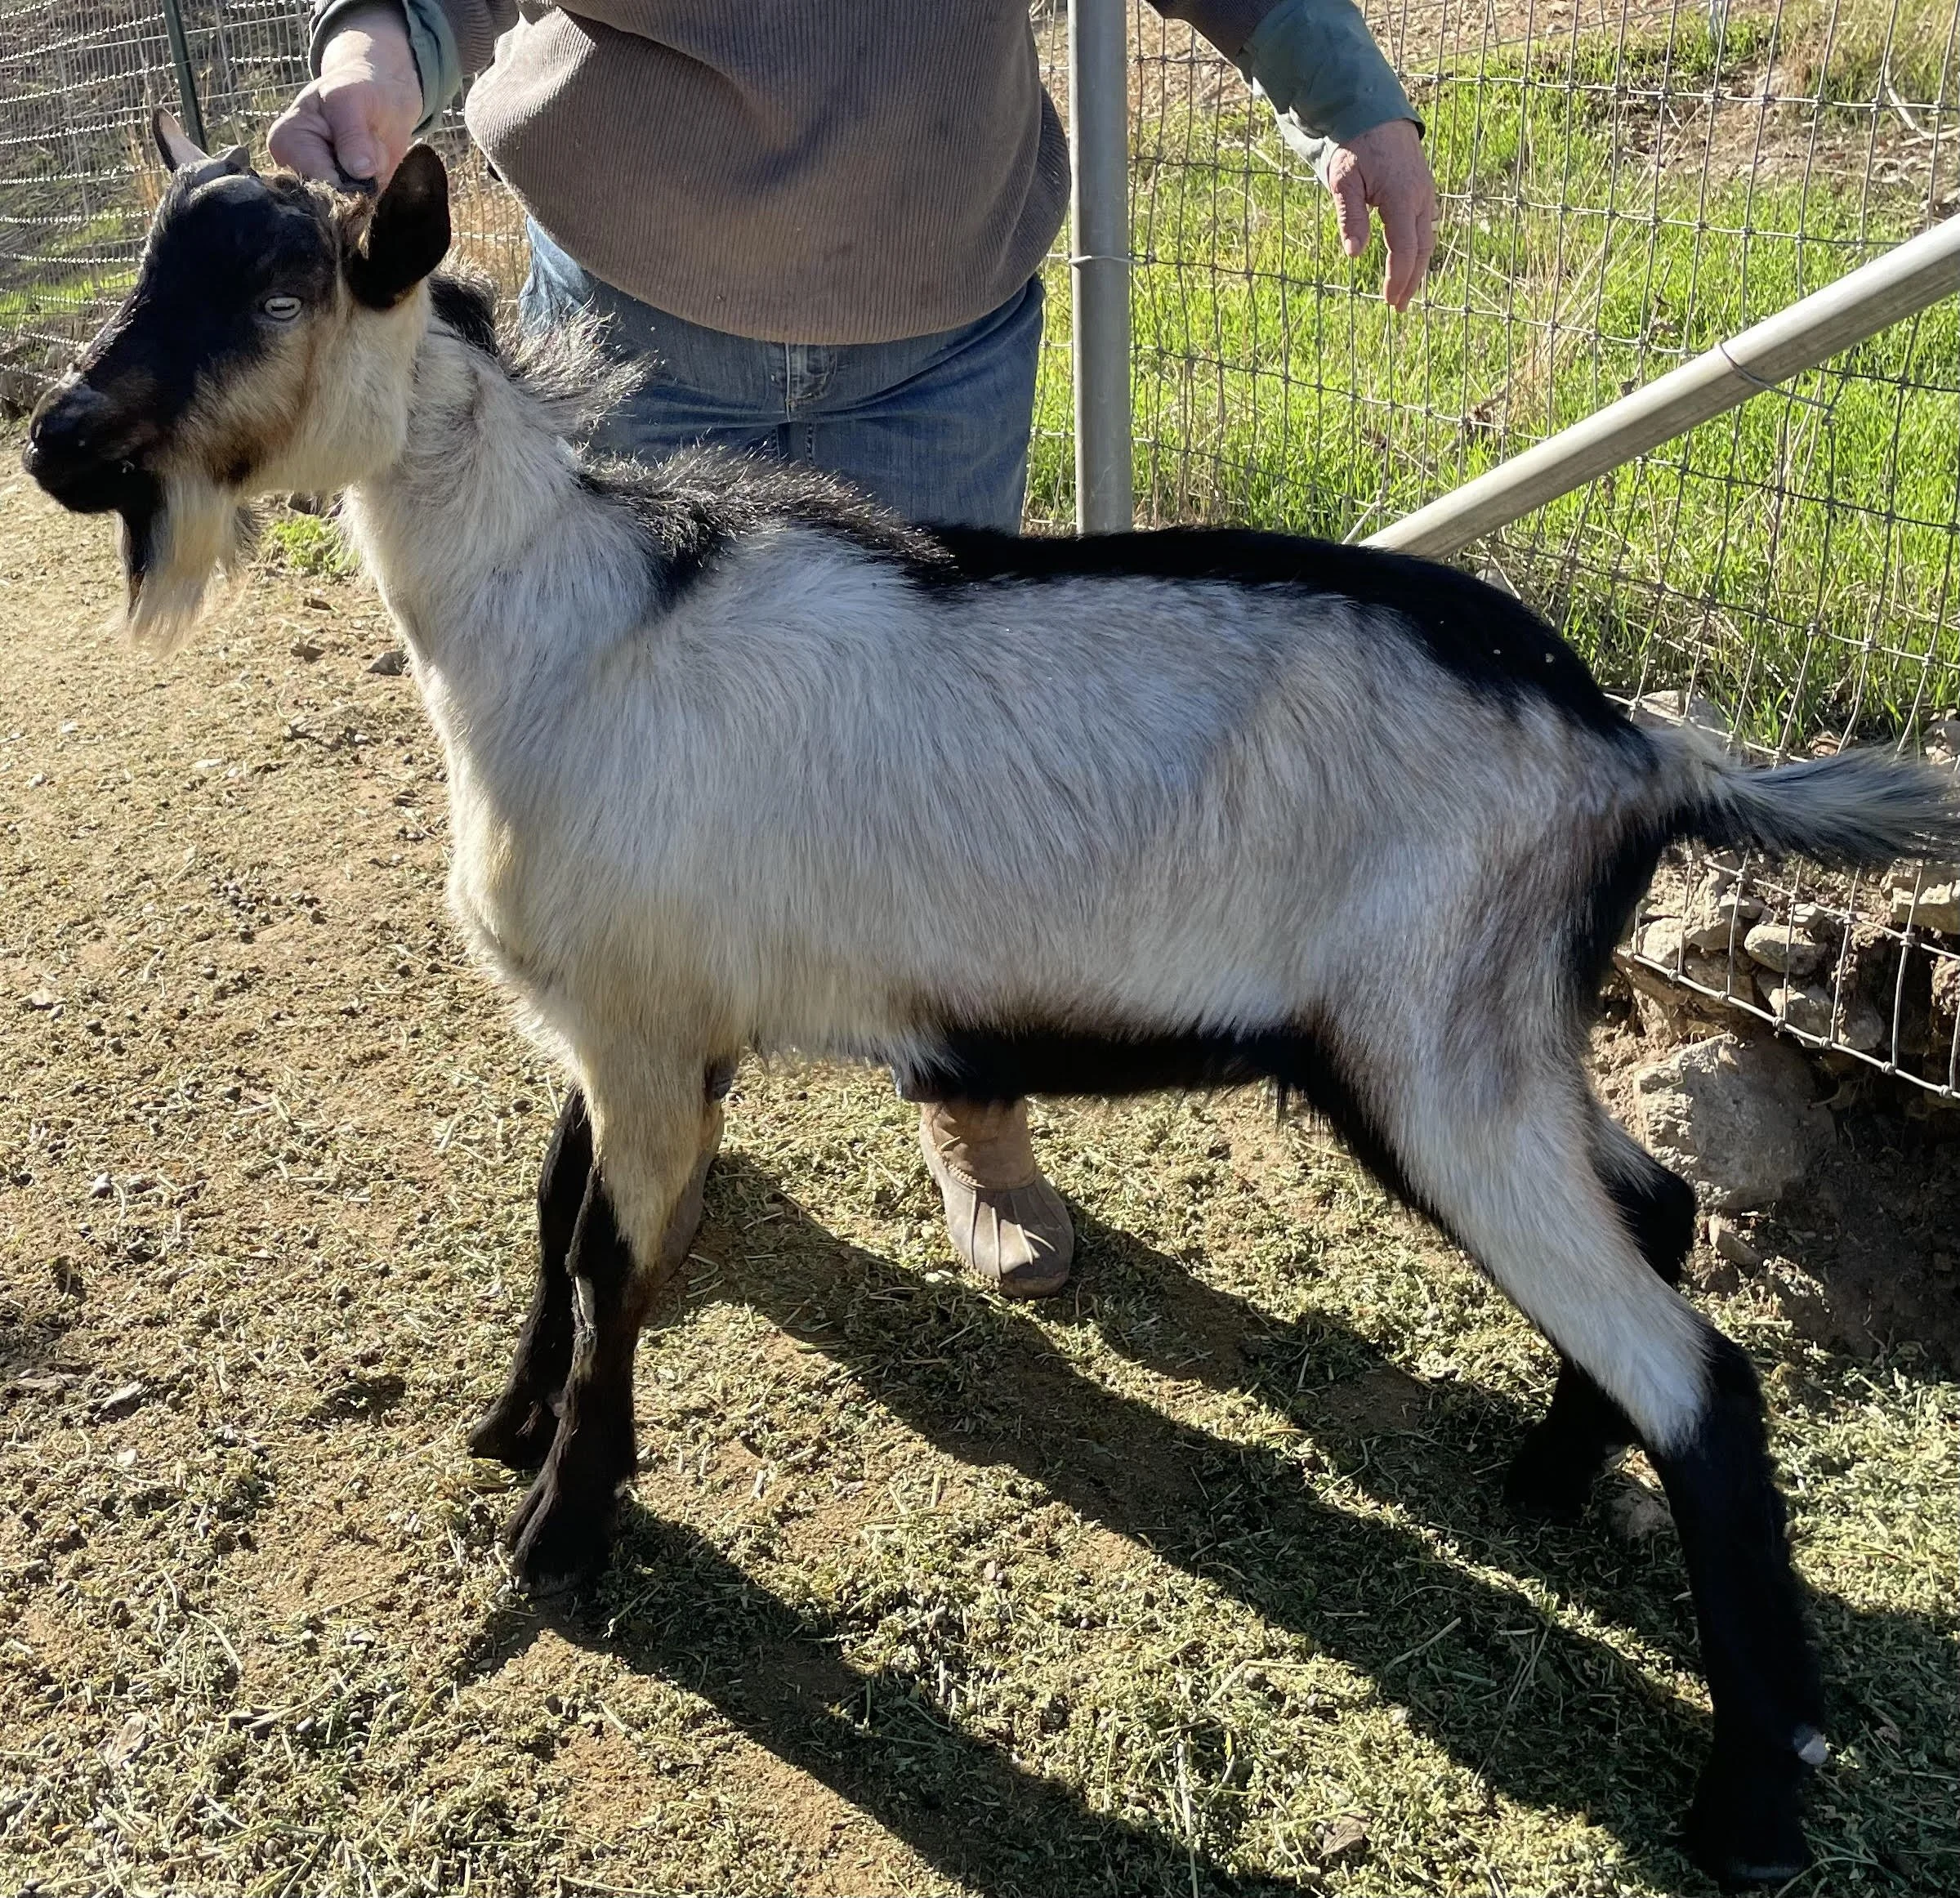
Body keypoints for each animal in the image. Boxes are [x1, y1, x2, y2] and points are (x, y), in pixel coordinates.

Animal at [25, 121, 1960, 1886]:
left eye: (275, 289)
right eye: (150, 260)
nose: (54, 439)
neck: (572, 621)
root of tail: (1632, 749)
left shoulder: (645, 1030)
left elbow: (612, 1258)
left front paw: (558, 1538)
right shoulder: (622, 1013)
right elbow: (558, 1210)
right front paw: (513, 1430)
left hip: (1434, 1059)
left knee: (1697, 1372)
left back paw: (1745, 1803)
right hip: (1487, 1046)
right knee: (1657, 1203)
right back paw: (1546, 1479)